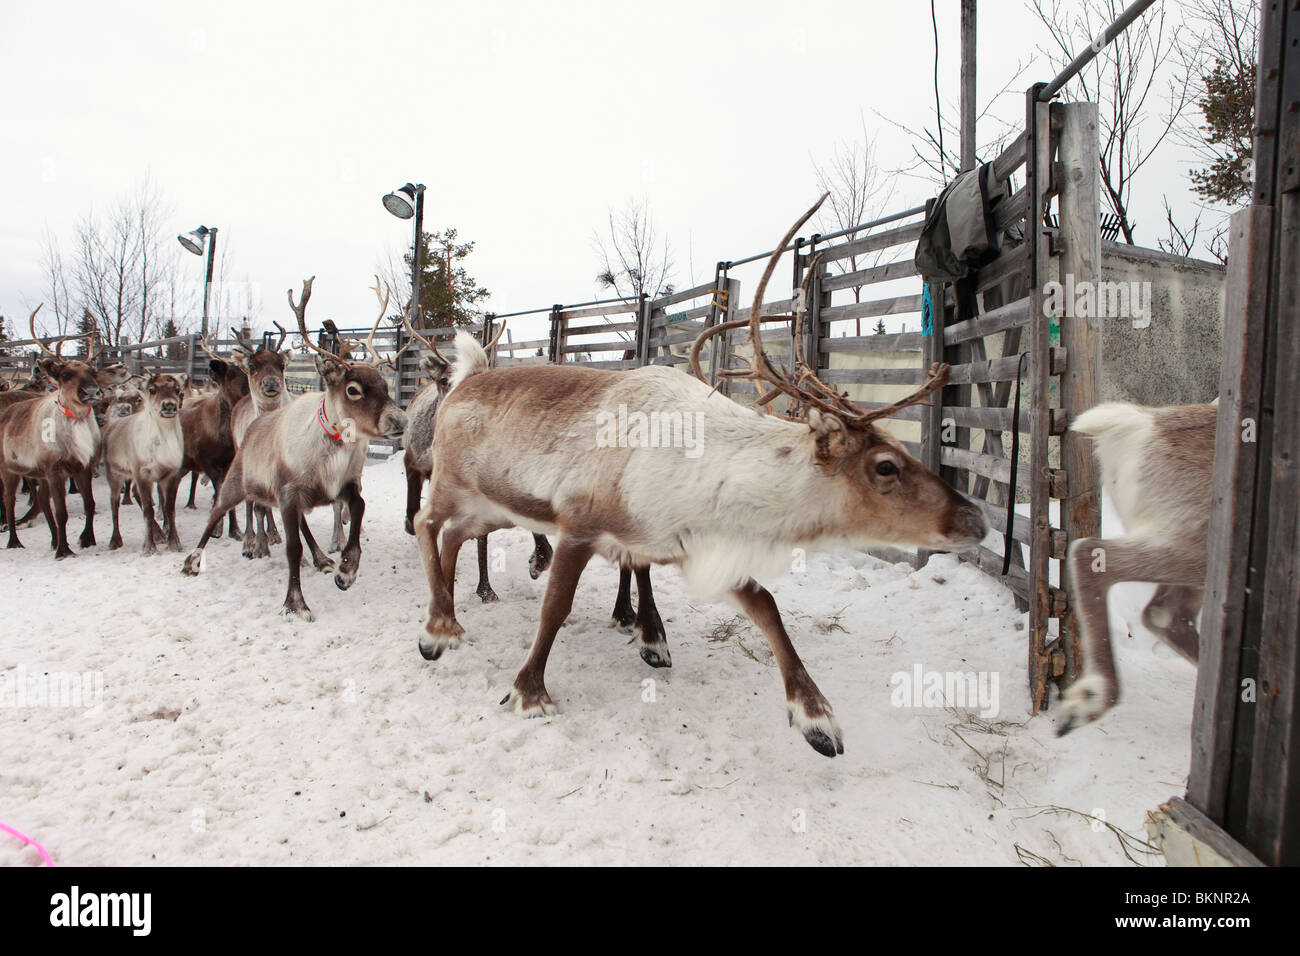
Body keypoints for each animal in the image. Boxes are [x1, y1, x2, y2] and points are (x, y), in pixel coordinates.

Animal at [101, 372, 188, 554]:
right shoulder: (142, 473)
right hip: (114, 474)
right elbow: (148, 510)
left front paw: (174, 542)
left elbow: (170, 508)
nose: (169, 406)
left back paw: (159, 534)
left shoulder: (171, 474)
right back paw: (115, 540)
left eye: (178, 390)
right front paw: (148, 547)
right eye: (152, 389)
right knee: (114, 503)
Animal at [180, 277, 408, 621]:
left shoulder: (342, 486)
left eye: (384, 384)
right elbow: (291, 548)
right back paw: (193, 561)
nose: (401, 420)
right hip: (237, 481)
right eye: (353, 389)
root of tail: (254, 423)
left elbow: (358, 508)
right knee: (218, 511)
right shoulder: (288, 492)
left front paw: (346, 570)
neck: (329, 457)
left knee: (295, 522)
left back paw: (321, 559)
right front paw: (295, 603)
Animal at [411, 196, 986, 757]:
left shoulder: (694, 545)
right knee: (425, 523)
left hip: (494, 509)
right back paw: (436, 631)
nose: (975, 520)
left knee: (455, 536)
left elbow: (766, 605)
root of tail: (460, 382)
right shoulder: (579, 522)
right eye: (885, 465)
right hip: (449, 481)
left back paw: (448, 618)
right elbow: (555, 609)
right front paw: (528, 692)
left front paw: (817, 720)